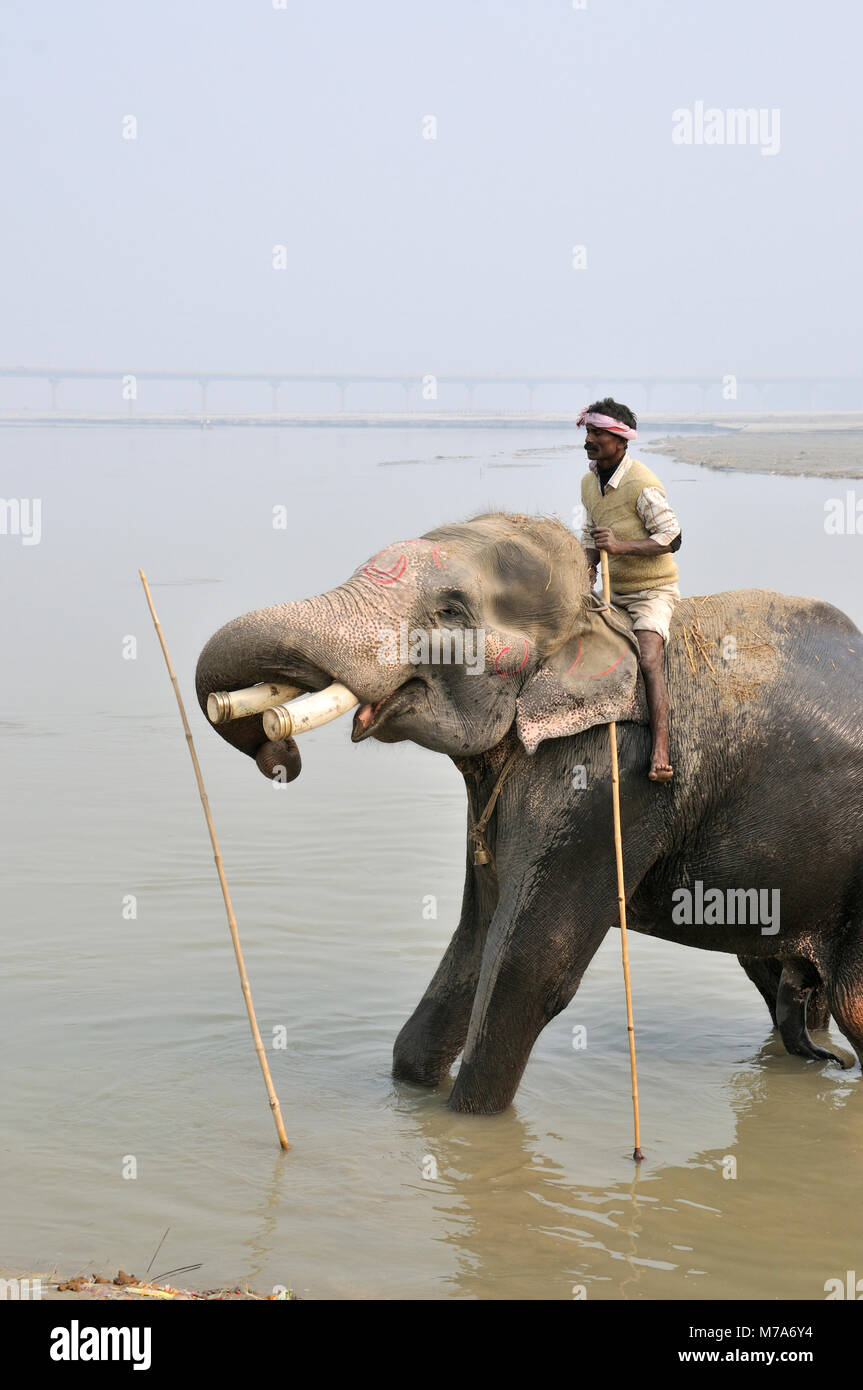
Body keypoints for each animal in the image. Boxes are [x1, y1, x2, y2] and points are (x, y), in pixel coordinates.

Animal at [195, 512, 863, 1114]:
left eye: (452, 612)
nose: (279, 750)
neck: (593, 617)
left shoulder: (610, 781)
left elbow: (527, 967)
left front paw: (470, 1127)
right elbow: (476, 936)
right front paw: (411, 1095)